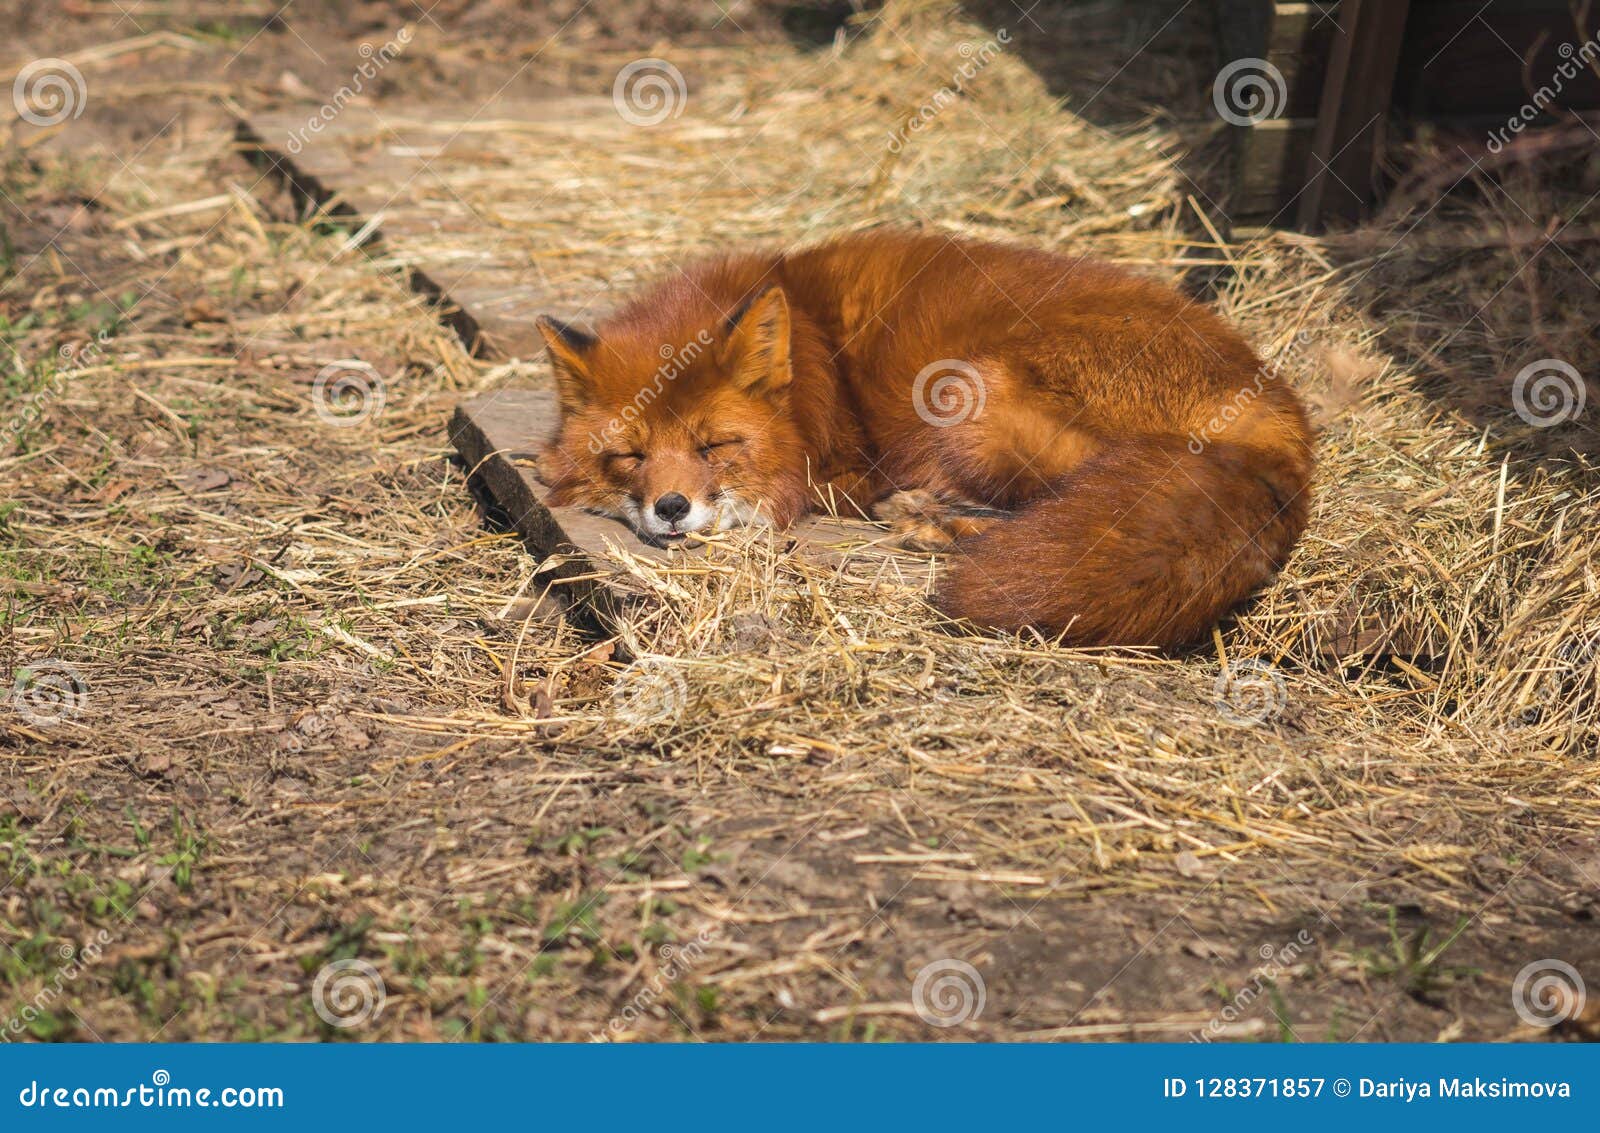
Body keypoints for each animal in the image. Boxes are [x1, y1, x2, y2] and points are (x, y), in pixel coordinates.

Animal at [533, 228, 1314, 648]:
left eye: (715, 446)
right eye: (630, 456)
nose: (670, 508)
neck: (817, 355)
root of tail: (1277, 414)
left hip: (971, 397)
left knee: (1056, 499)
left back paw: (928, 519)